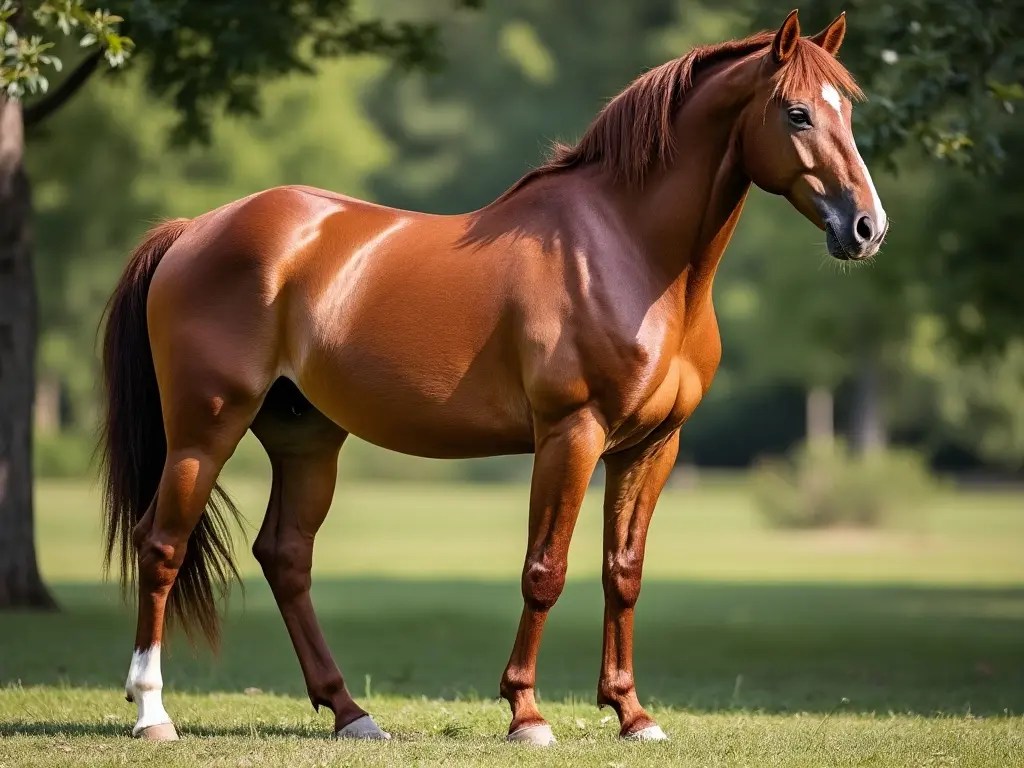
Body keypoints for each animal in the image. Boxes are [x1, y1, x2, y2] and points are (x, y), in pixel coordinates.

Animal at [100, 9, 886, 746]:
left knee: (286, 556)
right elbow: (546, 570)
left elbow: (622, 572)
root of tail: (195, 229)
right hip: (206, 426)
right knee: (162, 545)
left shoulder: (652, 446)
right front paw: (527, 714)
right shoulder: (572, 434)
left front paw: (632, 714)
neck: (627, 251)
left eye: (849, 111)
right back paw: (153, 714)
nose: (866, 228)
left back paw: (352, 713)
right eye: (797, 112)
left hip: (306, 437)